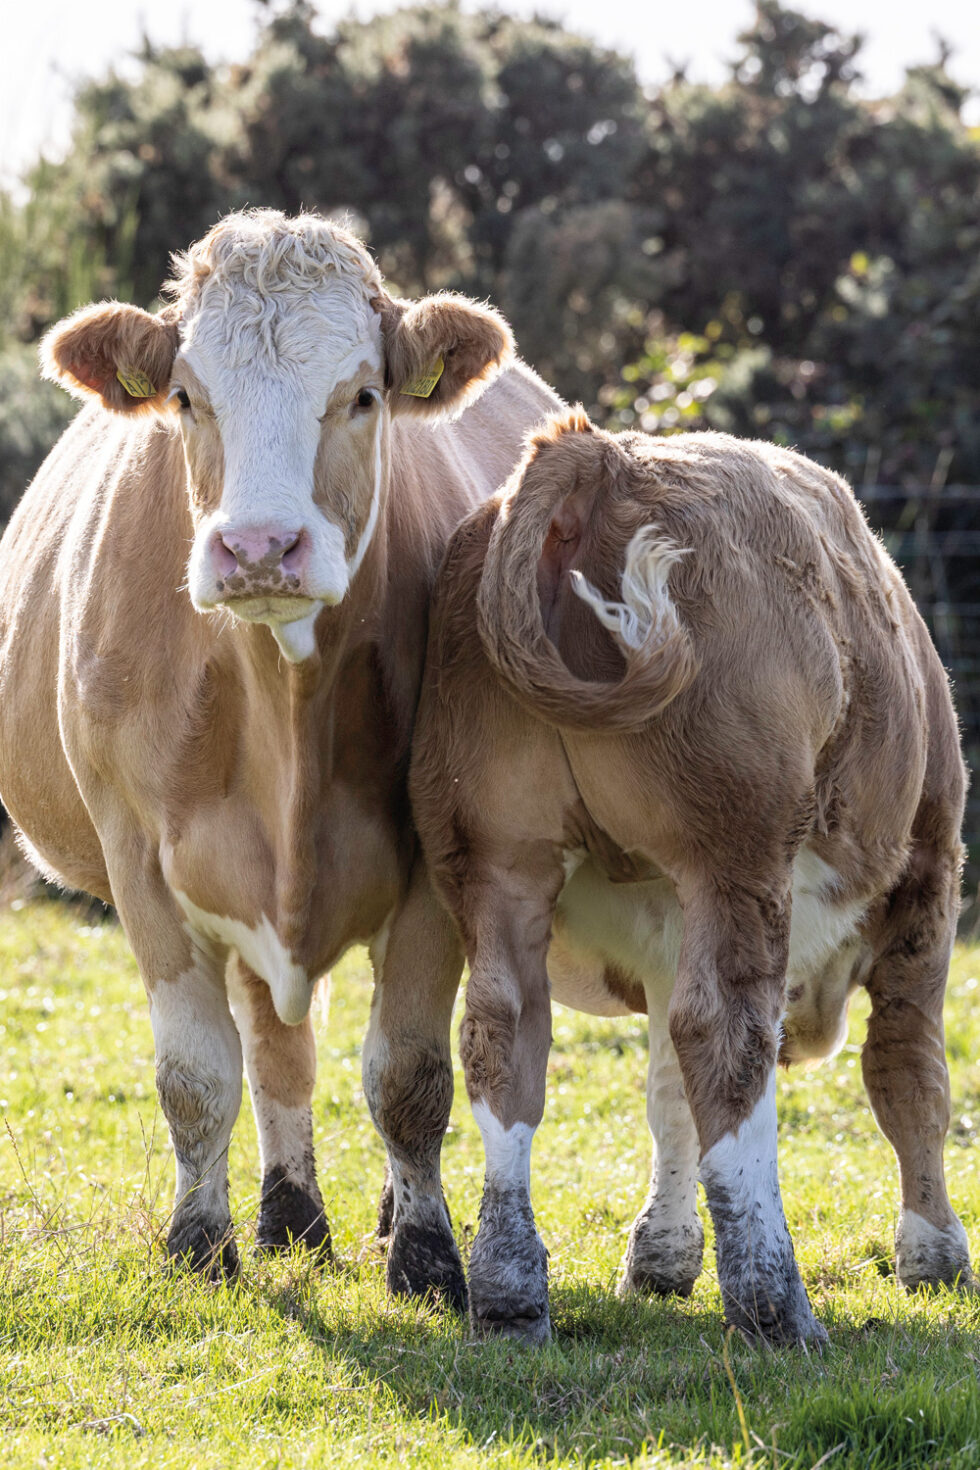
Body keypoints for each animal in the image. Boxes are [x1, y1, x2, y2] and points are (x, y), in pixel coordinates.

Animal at [0, 209, 560, 1296]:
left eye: (363, 394)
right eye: (186, 396)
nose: (260, 547)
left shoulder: (434, 861)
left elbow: (408, 1073)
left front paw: (426, 1254)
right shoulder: (139, 857)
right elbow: (197, 1072)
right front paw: (198, 1241)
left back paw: (376, 1213)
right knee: (276, 1046)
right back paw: (289, 1213)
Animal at [409, 406, 973, 1345]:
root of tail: (599, 457)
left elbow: (667, 1091)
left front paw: (662, 1255)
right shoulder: (927, 886)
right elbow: (910, 1075)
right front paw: (935, 1253)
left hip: (495, 856)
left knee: (504, 1039)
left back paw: (510, 1292)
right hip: (739, 853)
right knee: (728, 1040)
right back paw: (775, 1303)